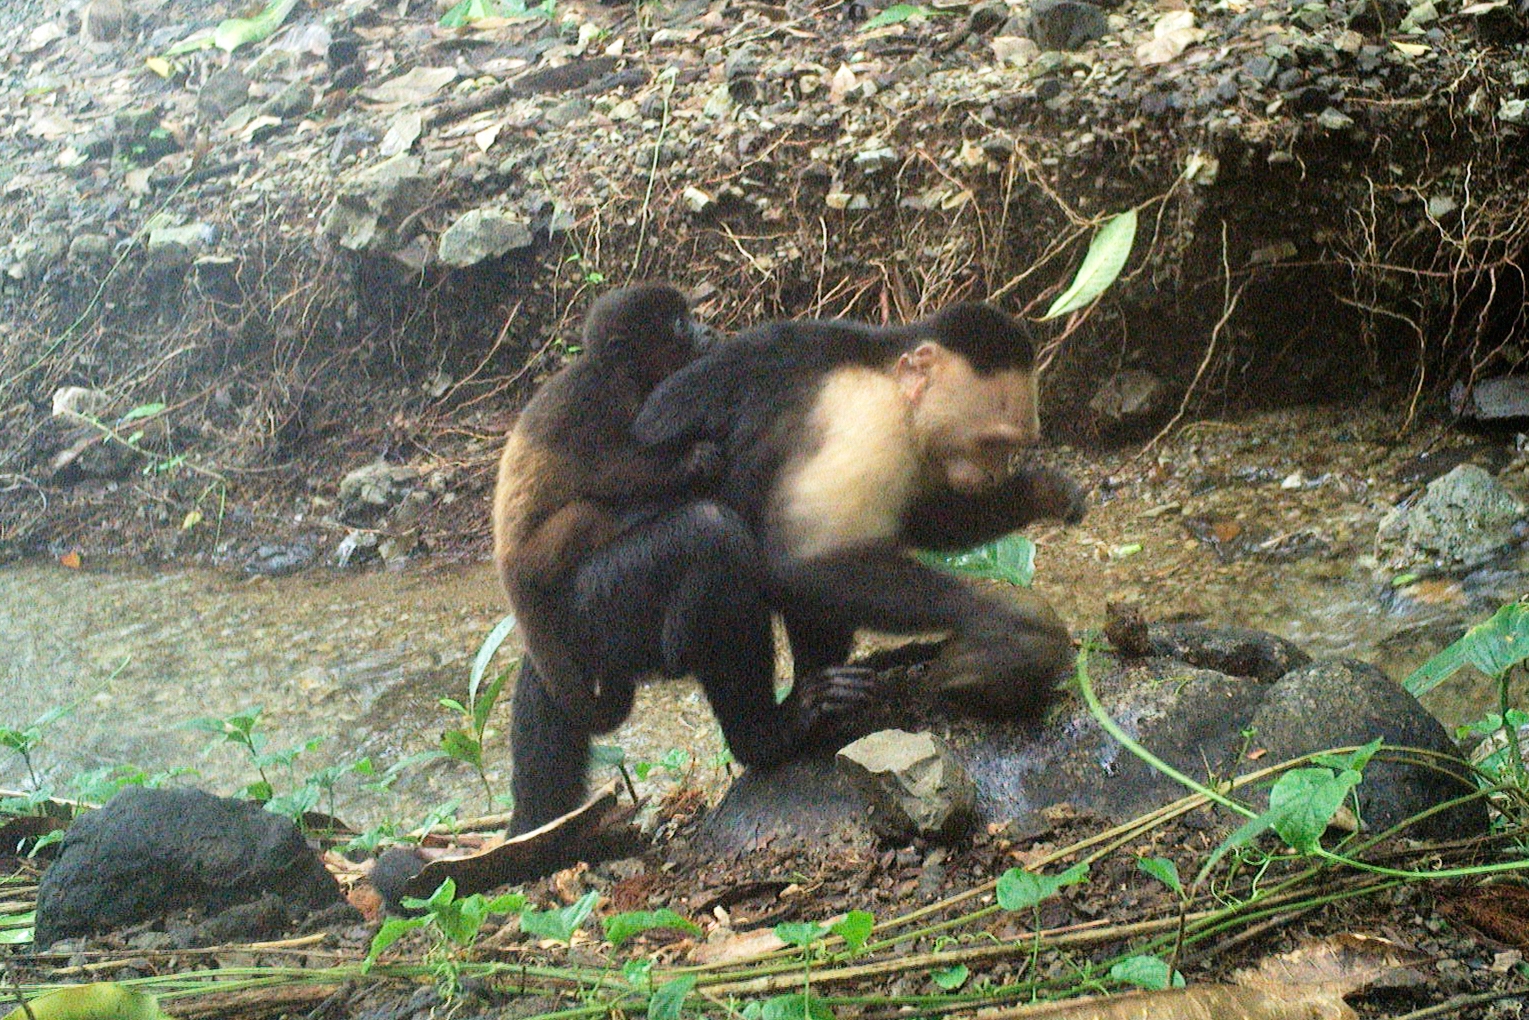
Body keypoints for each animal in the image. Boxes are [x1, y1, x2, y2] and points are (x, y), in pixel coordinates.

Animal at [632, 301, 1087, 720]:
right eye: (992, 443)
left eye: (1013, 447)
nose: (994, 476)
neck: (887, 374)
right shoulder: (868, 420)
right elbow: (805, 562)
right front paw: (1002, 623)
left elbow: (925, 521)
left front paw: (1043, 491)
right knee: (720, 541)